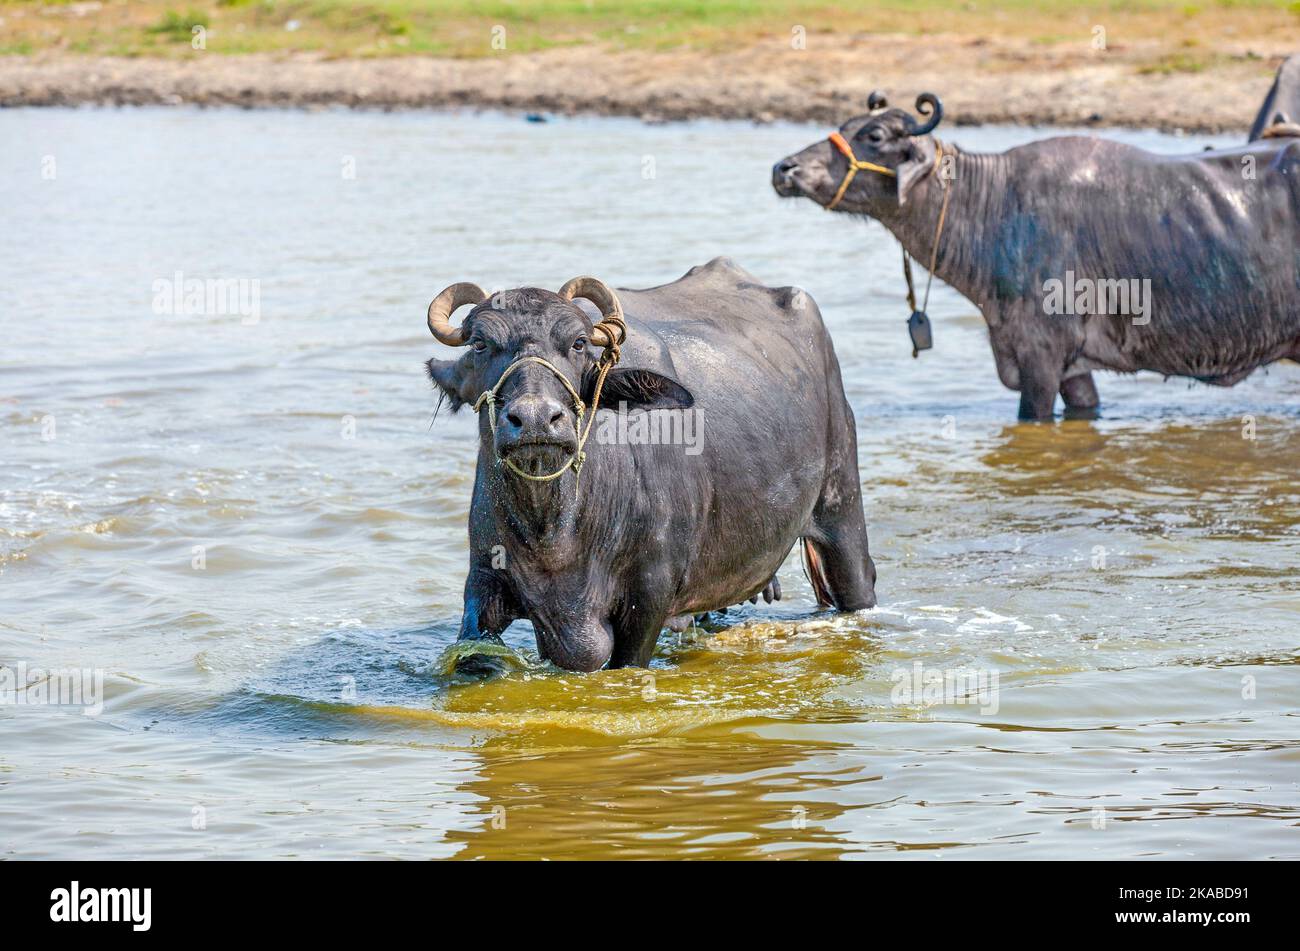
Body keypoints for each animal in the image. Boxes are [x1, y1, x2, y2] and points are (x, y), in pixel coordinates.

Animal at [425, 257, 877, 673]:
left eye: (577, 344)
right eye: (480, 345)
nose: (536, 418)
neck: (555, 532)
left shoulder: (649, 599)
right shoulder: (483, 582)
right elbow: (474, 654)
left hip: (842, 509)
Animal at [772, 93, 1300, 419]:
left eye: (875, 136)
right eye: (846, 127)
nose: (785, 168)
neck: (993, 204)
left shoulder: (1040, 357)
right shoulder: (1074, 368)